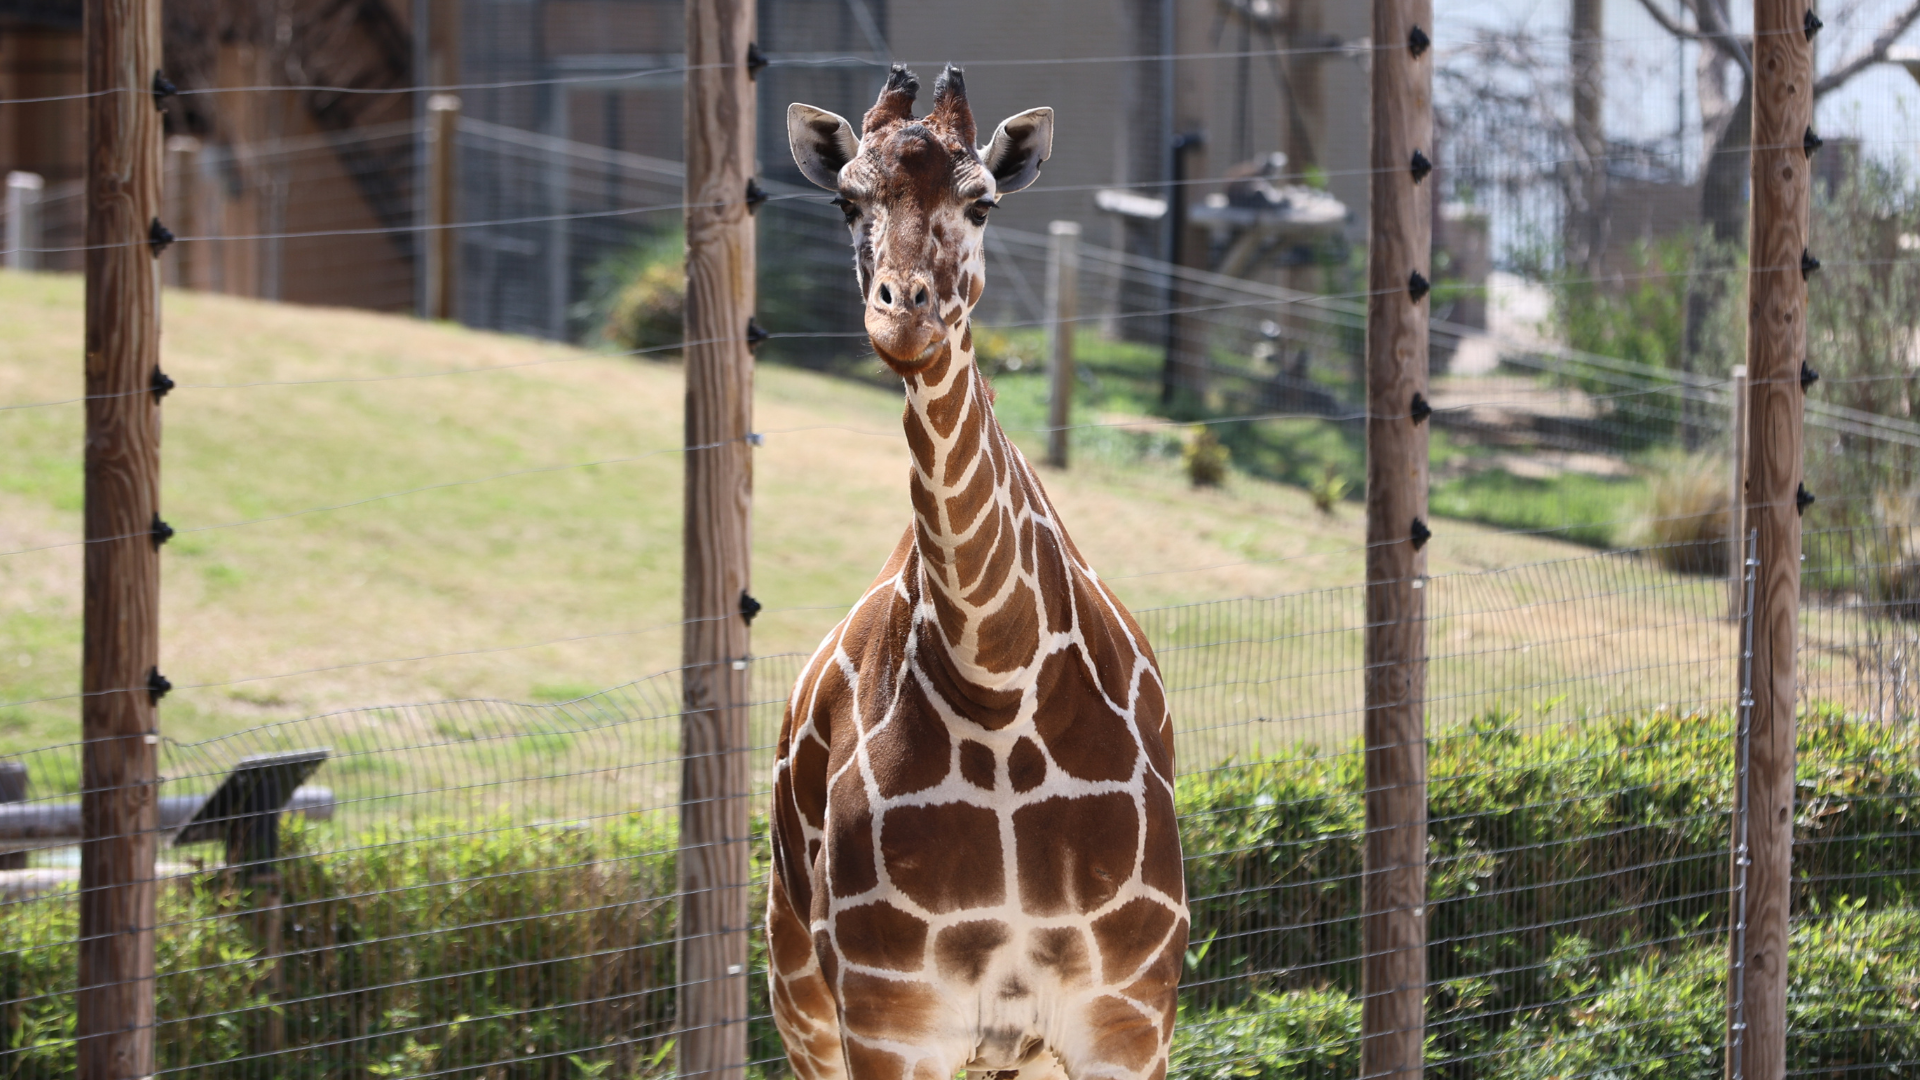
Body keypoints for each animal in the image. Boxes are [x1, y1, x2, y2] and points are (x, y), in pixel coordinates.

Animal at [767, 65, 1187, 1080]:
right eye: (847, 201)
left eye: (983, 202)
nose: (902, 312)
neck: (997, 682)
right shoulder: (889, 1022)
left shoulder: (1129, 1018)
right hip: (801, 999)